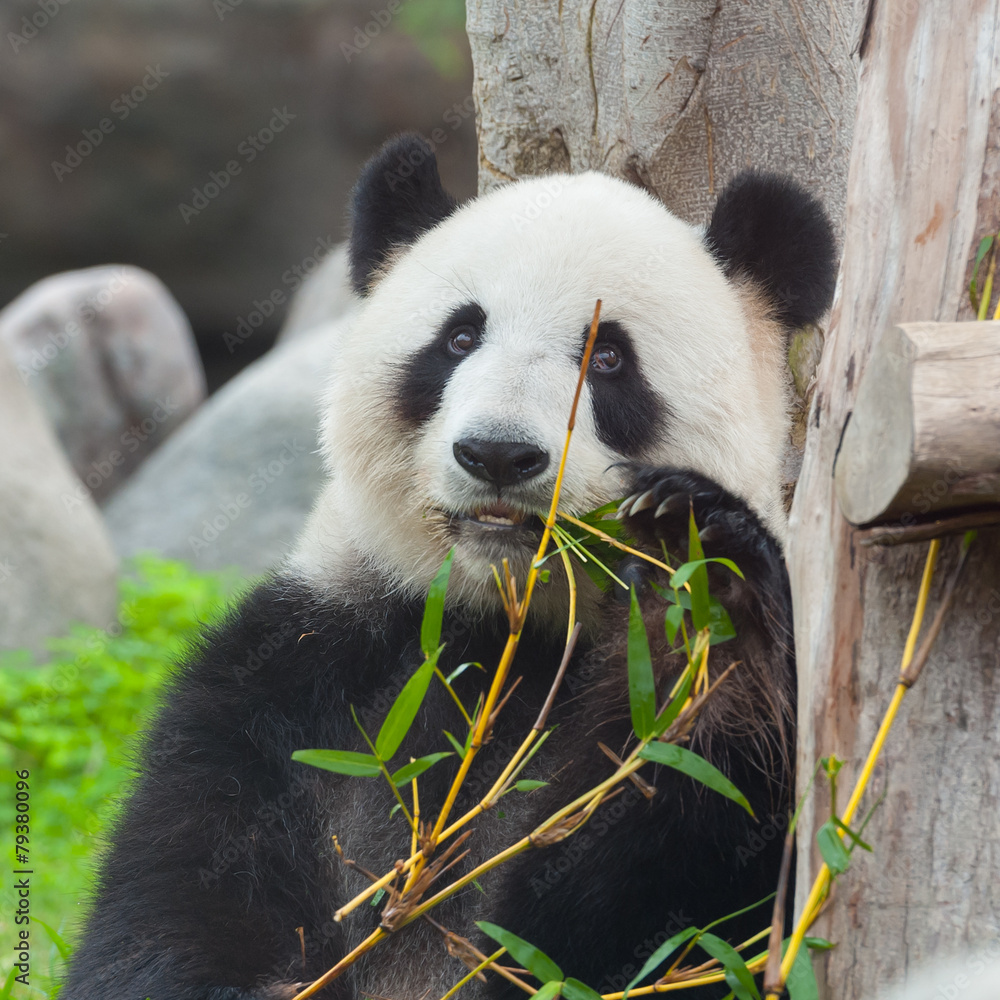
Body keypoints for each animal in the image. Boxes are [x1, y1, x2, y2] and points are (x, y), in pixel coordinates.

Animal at [62, 134, 836, 1000]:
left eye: (608, 358)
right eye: (460, 338)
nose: (498, 453)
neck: (504, 623)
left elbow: (652, 904)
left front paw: (702, 591)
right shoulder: (300, 674)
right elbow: (172, 902)